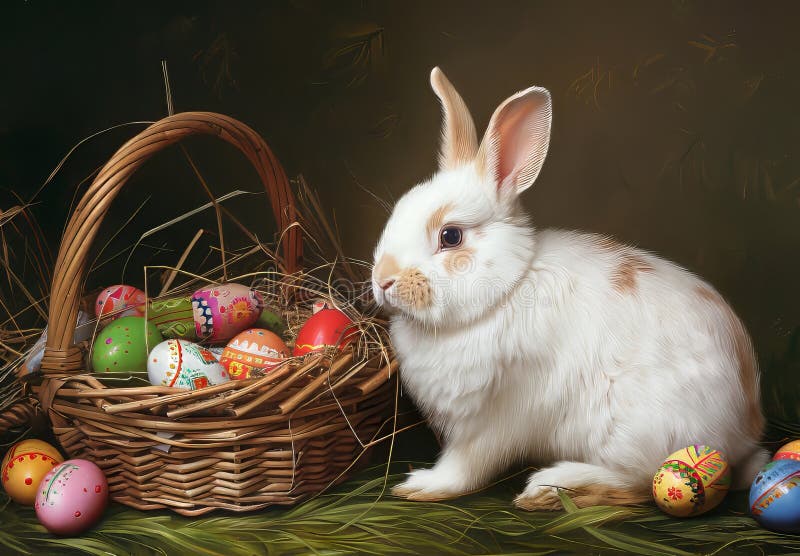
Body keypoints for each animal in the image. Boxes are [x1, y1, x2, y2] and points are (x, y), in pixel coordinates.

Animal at [370, 67, 768, 510]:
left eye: (451, 236)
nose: (383, 280)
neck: (506, 291)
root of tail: (746, 430)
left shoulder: (492, 423)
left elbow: (466, 465)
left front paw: (422, 486)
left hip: (633, 433)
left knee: (637, 484)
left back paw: (550, 487)